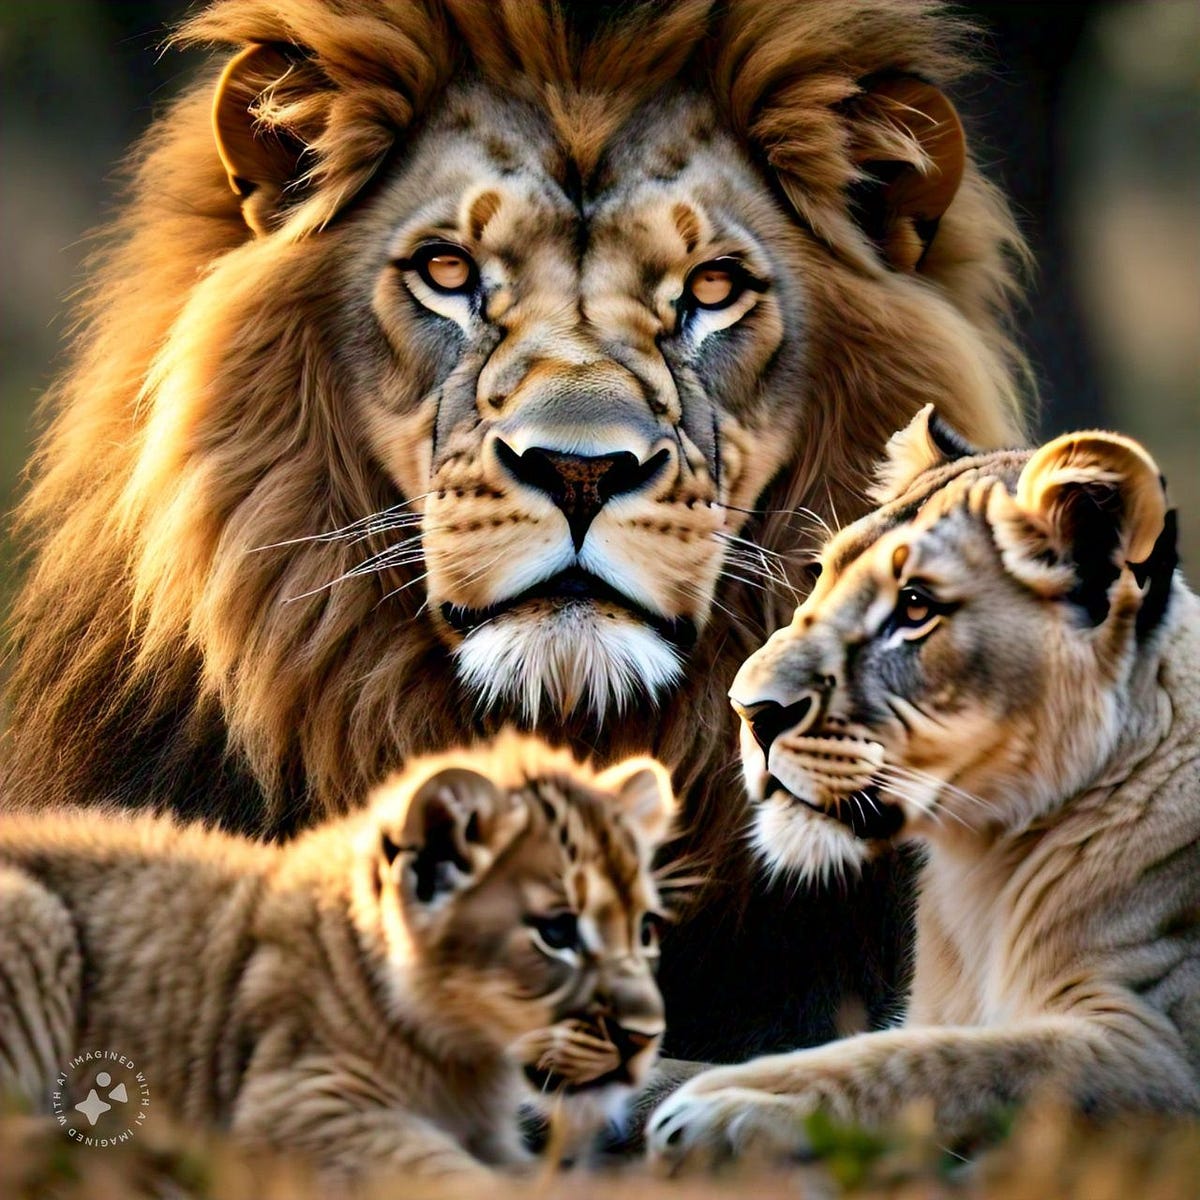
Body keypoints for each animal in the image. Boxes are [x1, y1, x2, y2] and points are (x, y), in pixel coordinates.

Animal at [0, 734, 672, 1181]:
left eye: (644, 928)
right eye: (557, 932)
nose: (645, 1036)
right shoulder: (299, 1103)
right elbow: (456, 1179)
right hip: (32, 913)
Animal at [648, 410, 1199, 1165]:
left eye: (914, 608)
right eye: (820, 576)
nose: (748, 709)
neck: (983, 872)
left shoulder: (1157, 1046)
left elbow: (949, 1061)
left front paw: (723, 1105)